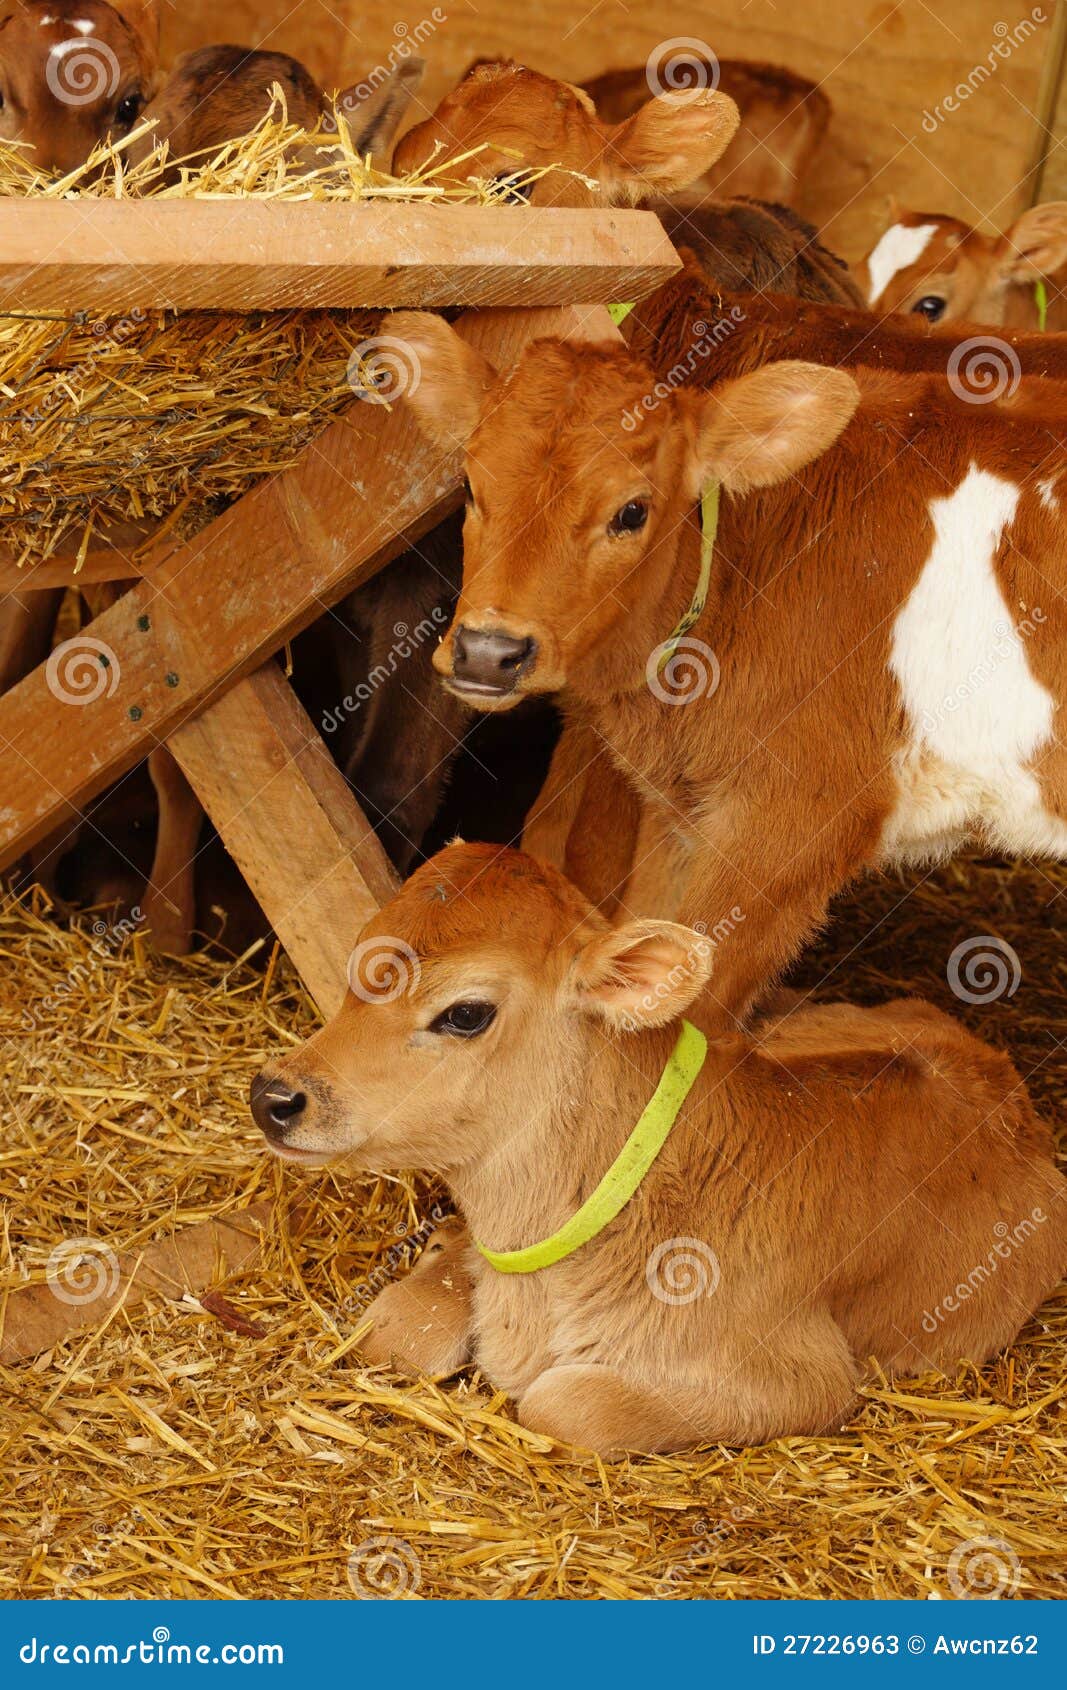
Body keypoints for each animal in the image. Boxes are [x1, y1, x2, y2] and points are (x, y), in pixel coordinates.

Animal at [250, 842, 1067, 1456]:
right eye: (359, 961)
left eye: (466, 1013)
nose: (274, 1096)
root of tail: (989, 1064)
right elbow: (396, 1328)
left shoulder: (801, 1378)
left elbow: (557, 1403)